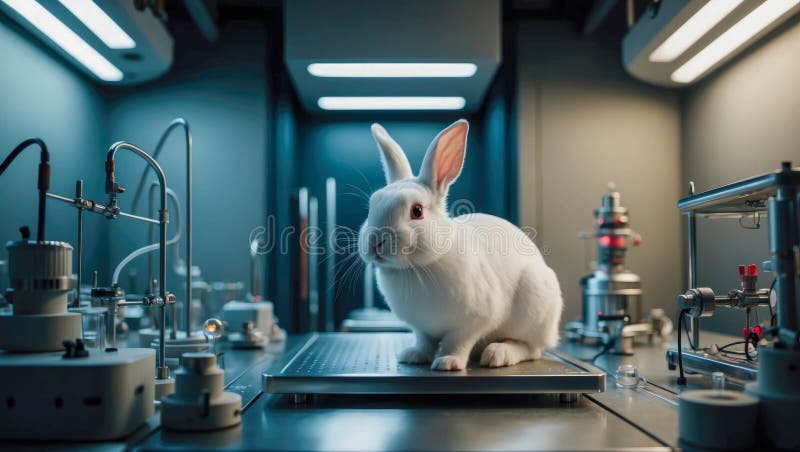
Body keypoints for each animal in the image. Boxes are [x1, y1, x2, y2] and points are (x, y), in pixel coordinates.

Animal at [358, 119, 563, 371]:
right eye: (372, 205)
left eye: (417, 211)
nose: (375, 241)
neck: (418, 268)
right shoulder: (421, 327)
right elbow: (424, 341)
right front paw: (414, 355)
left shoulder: (474, 321)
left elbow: (457, 341)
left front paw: (448, 361)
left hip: (534, 306)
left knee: (532, 348)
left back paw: (498, 353)